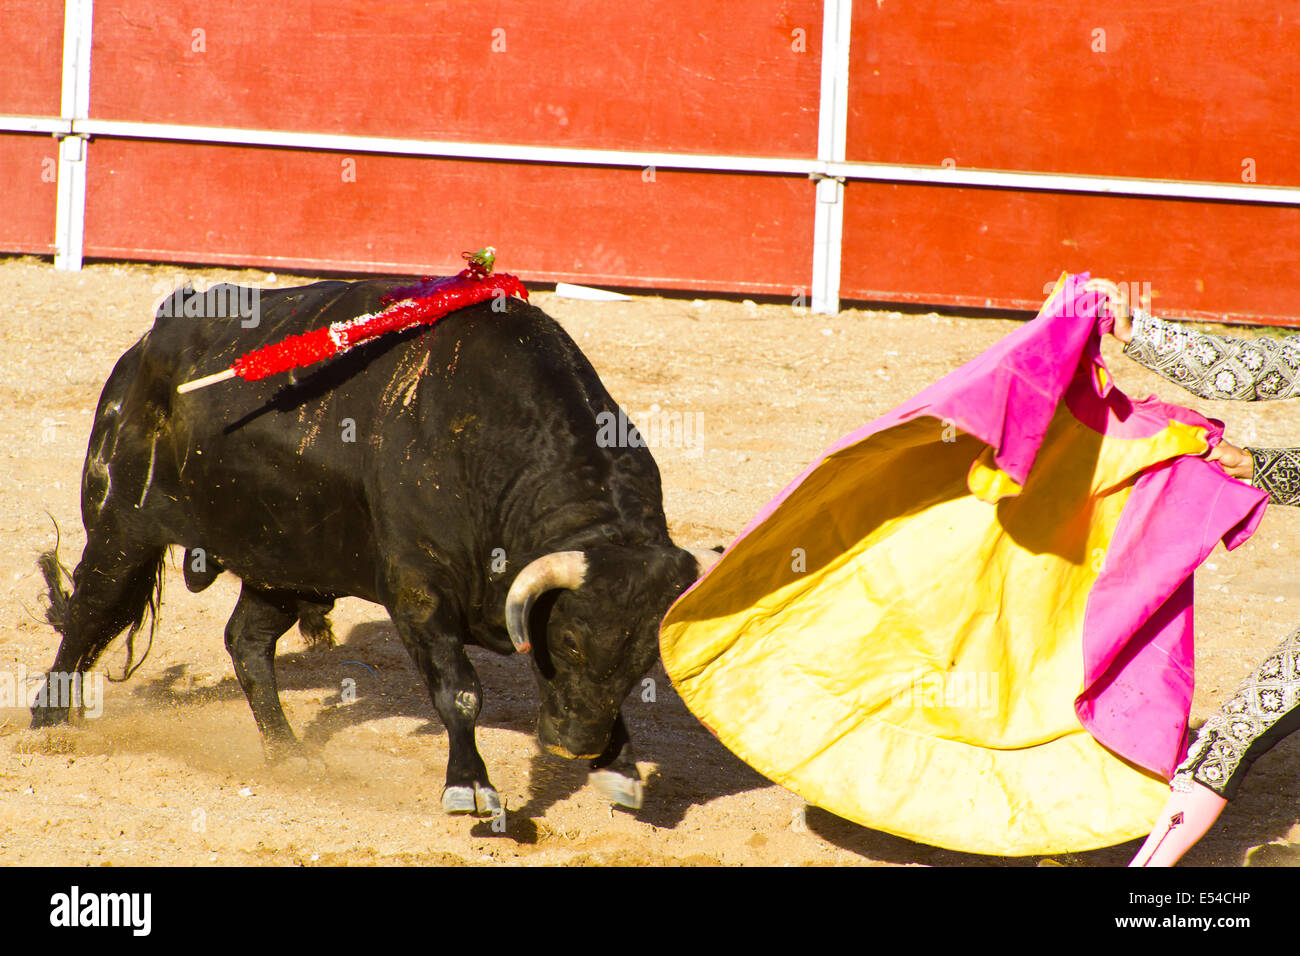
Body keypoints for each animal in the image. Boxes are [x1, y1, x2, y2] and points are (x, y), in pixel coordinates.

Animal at [32, 277, 717, 815]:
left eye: (646, 660)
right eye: (569, 639)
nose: (576, 744)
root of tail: (143, 349)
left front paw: (620, 770)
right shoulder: (419, 592)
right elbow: (460, 691)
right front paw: (471, 788)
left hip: (286, 565)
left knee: (246, 642)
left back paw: (288, 753)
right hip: (122, 530)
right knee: (90, 618)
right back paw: (46, 725)